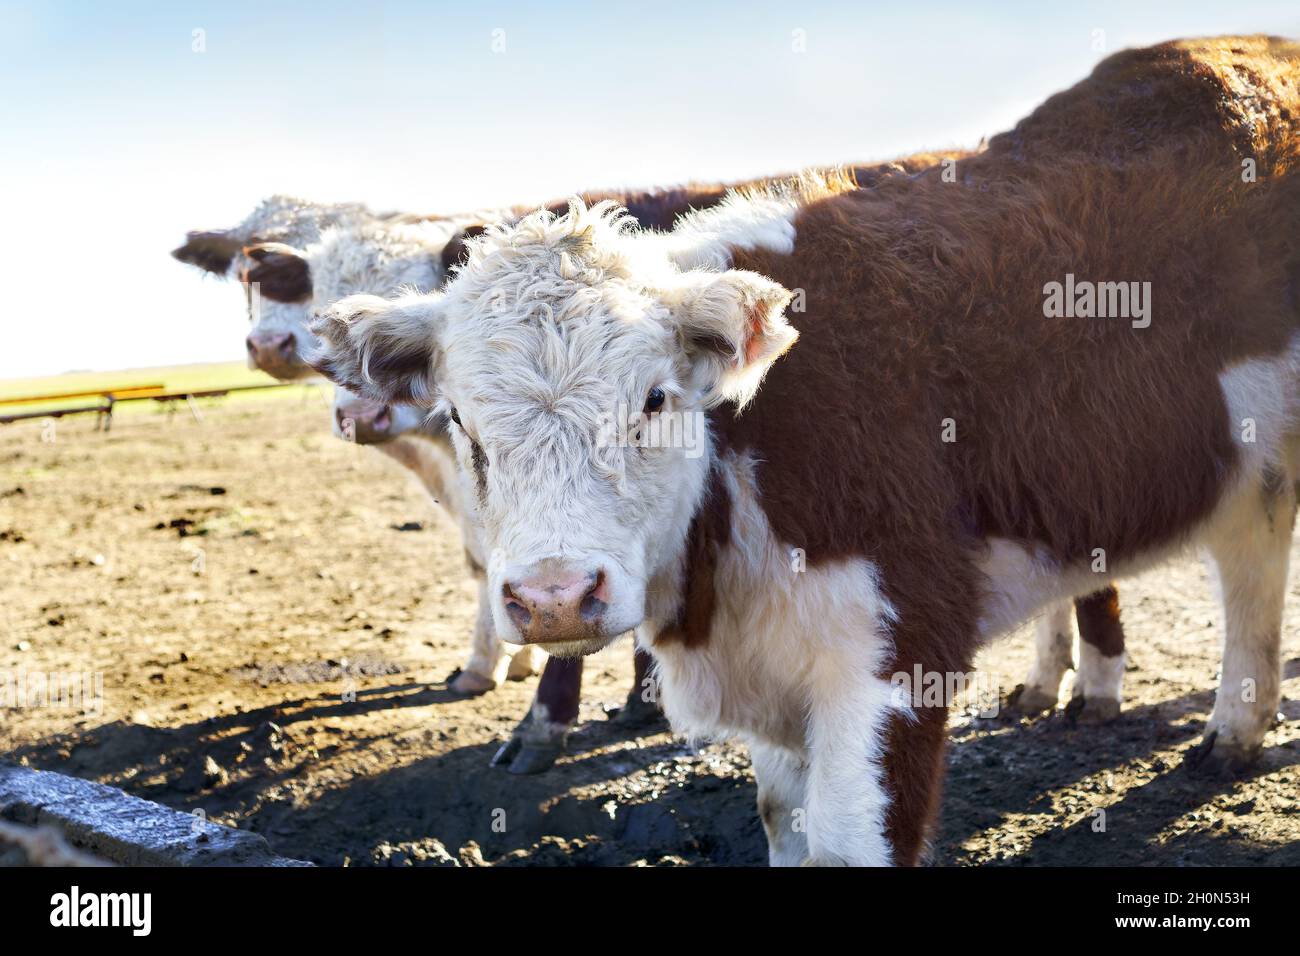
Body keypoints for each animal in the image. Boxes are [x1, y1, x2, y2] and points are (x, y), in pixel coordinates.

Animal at [308, 35, 1300, 864]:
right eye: (462, 420)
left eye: (656, 400)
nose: (554, 598)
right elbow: (787, 826)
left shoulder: (899, 649)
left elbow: (851, 839)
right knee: (1253, 564)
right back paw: (1233, 731)